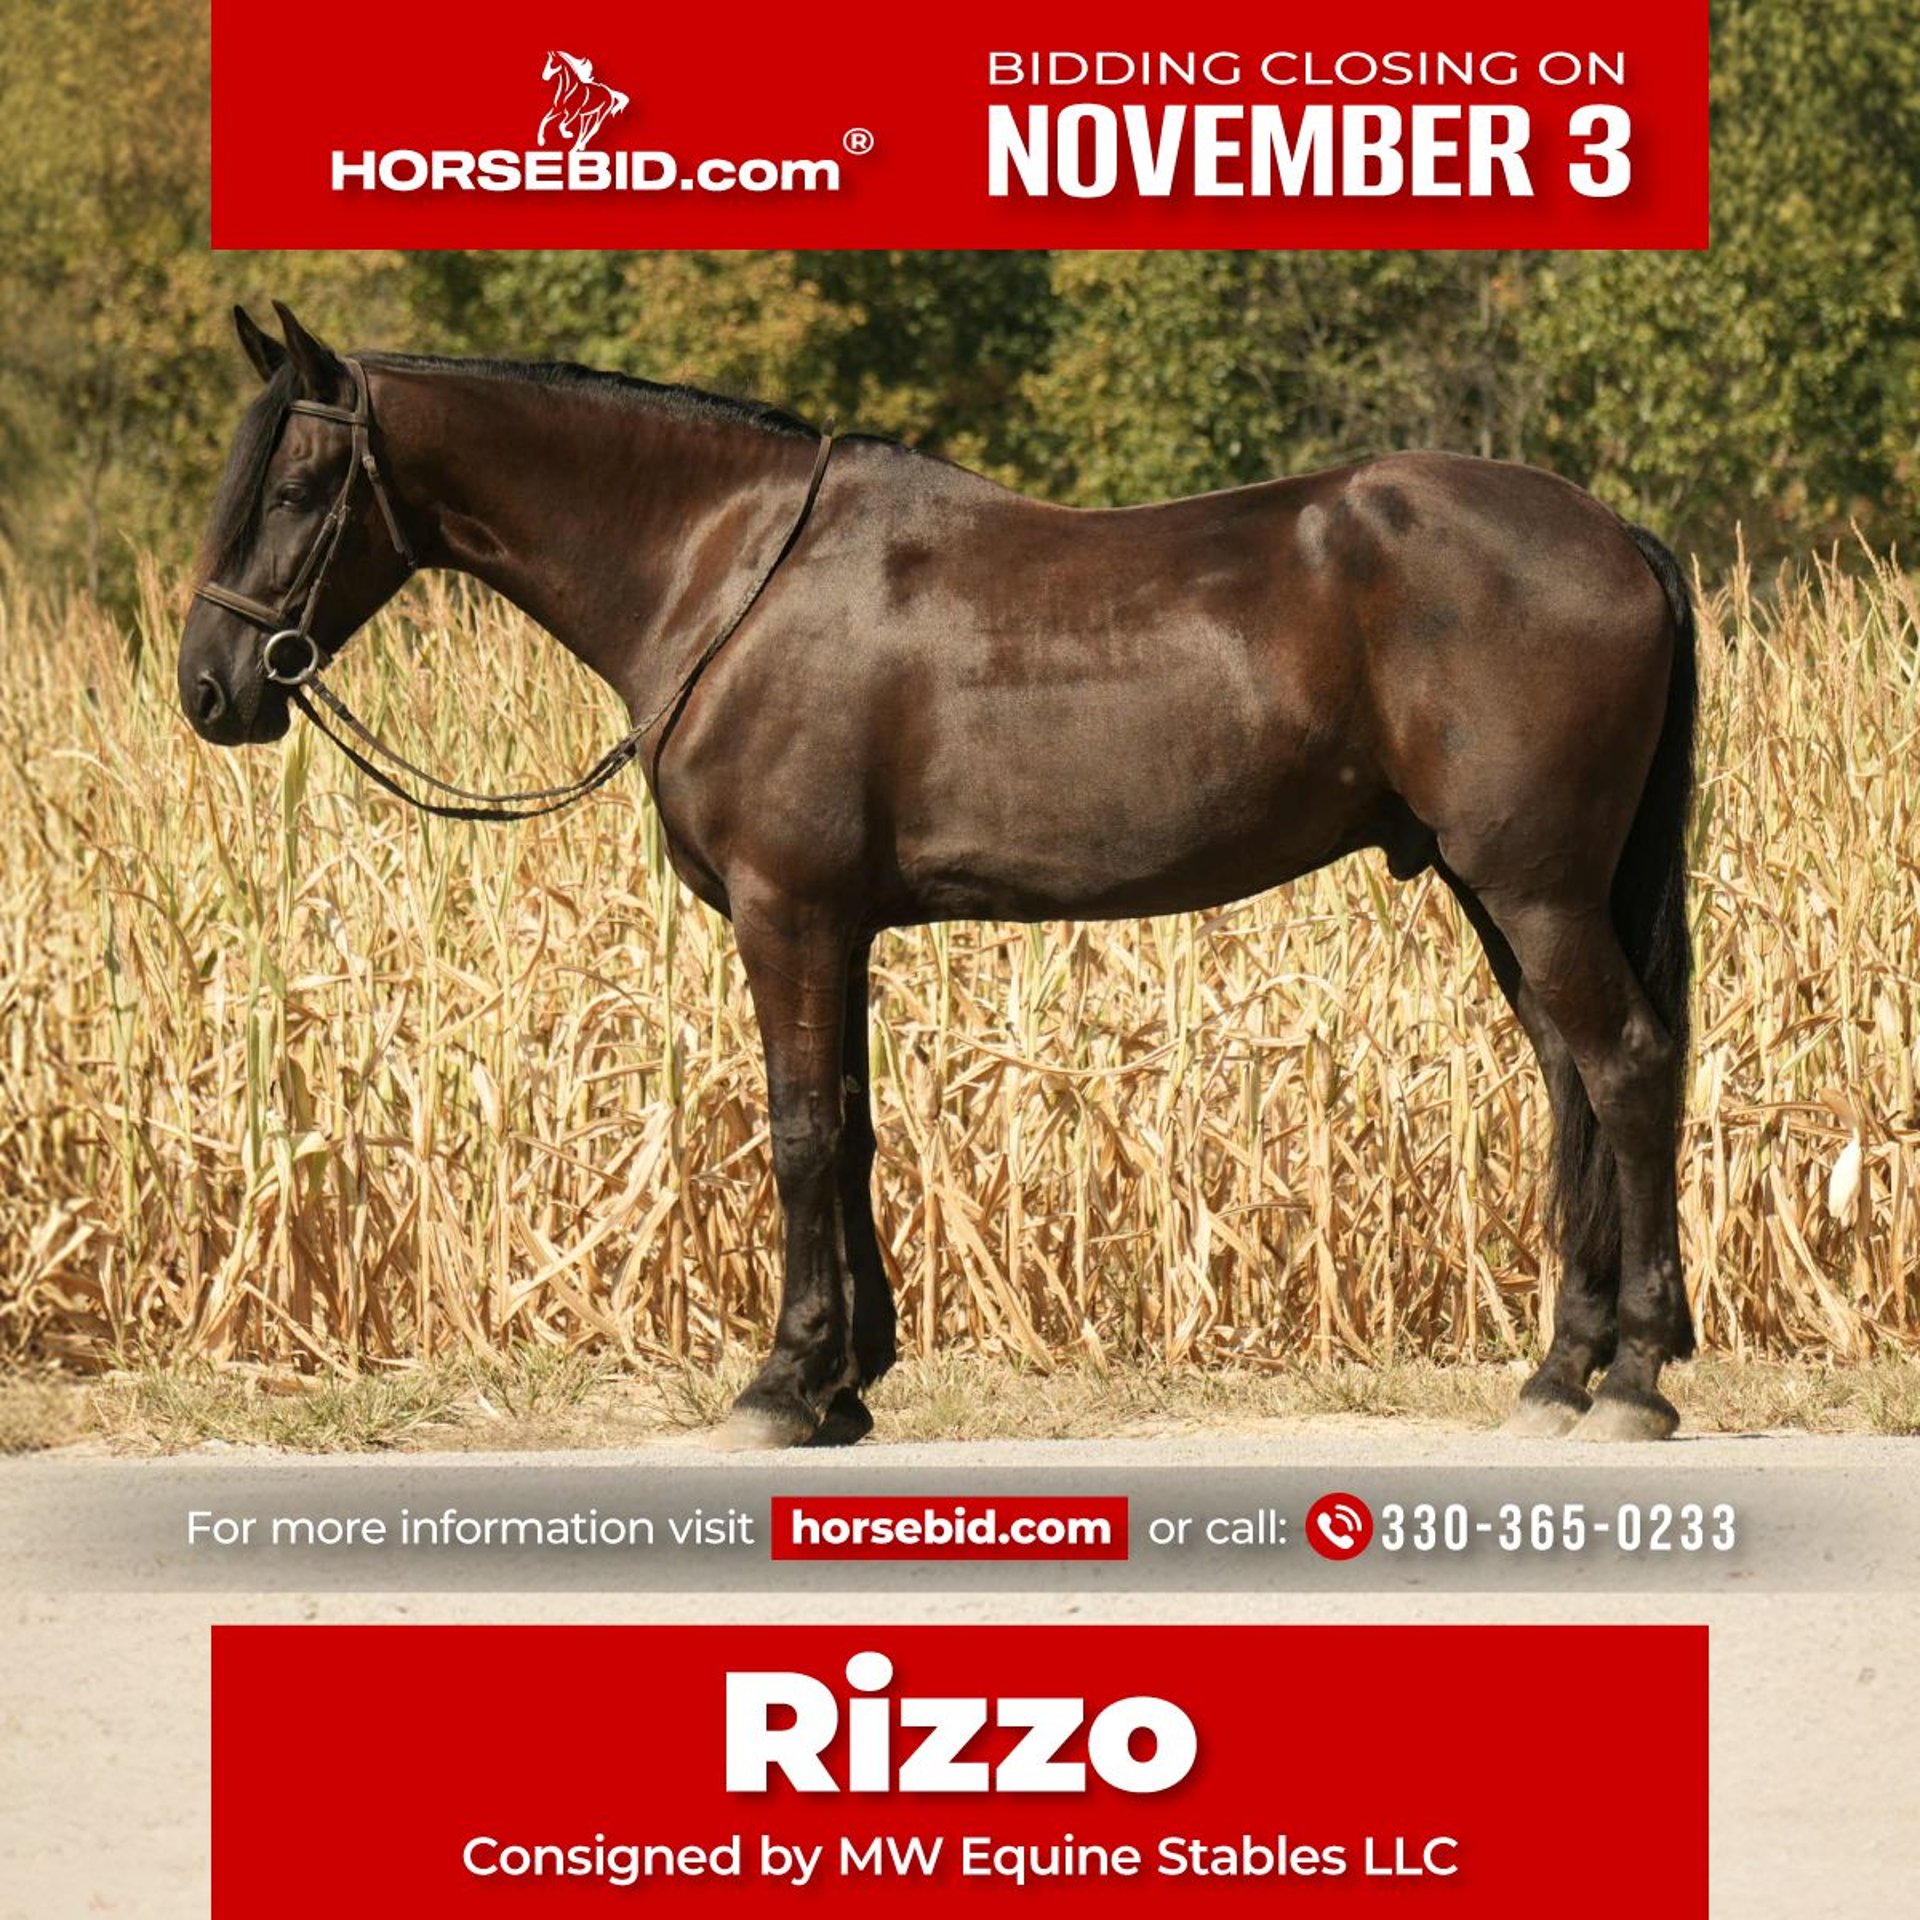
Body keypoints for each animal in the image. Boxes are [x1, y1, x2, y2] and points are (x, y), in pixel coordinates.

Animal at [179, 302, 1700, 1449]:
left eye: (298, 488)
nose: (211, 688)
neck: (725, 574)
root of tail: (1611, 535)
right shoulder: (838, 927)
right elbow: (850, 1129)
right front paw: (848, 1385)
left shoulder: (788, 914)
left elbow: (799, 1134)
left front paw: (780, 1387)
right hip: (1505, 890)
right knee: (1571, 1079)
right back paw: (1560, 1373)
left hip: (1536, 887)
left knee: (1624, 1067)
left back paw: (1631, 1380)